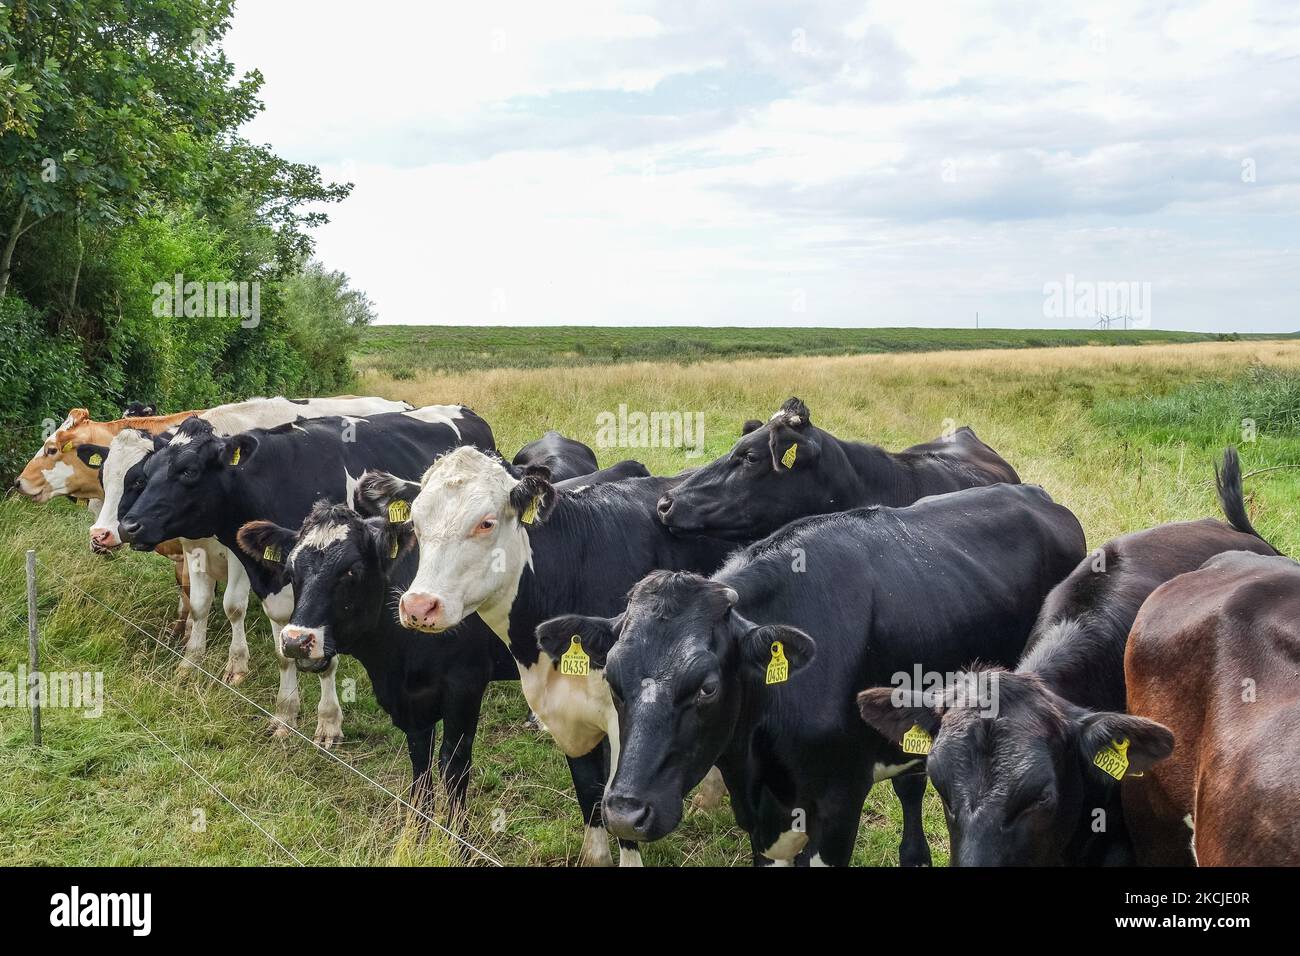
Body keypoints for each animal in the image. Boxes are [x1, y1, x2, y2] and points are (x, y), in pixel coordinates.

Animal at [85, 396, 413, 685]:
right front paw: (190, 660)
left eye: (136, 480)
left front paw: (237, 665)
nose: (105, 533)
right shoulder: (194, 547)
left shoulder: (240, 554)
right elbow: (198, 602)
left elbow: (233, 605)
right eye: (104, 477)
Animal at [116, 405, 494, 746]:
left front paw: (328, 723)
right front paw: (285, 715)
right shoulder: (276, 587)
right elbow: (284, 654)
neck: (276, 479)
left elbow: (325, 661)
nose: (128, 526)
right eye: (146, 473)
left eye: (189, 471)